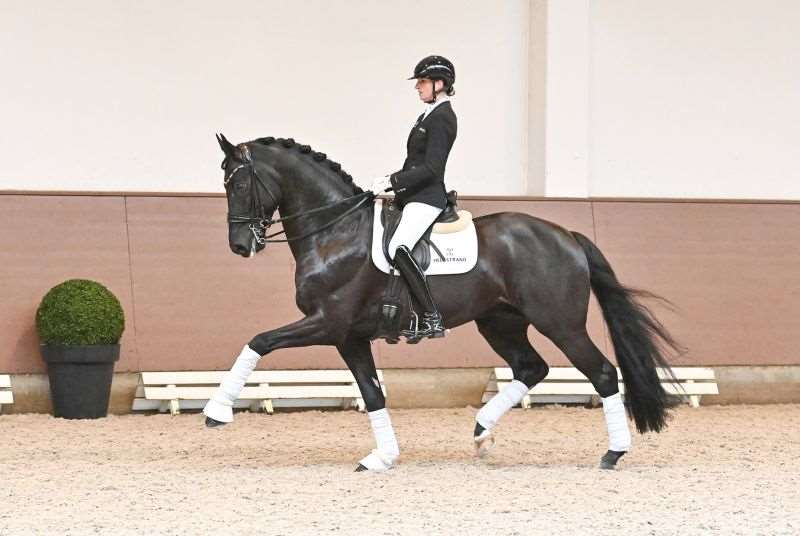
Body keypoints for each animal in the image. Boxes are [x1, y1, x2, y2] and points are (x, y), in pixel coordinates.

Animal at [203, 133, 681, 472]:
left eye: (239, 181)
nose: (239, 245)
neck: (335, 232)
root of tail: (567, 236)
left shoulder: (328, 323)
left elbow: (259, 341)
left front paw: (217, 411)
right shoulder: (349, 336)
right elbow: (372, 394)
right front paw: (383, 457)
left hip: (560, 323)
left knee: (601, 373)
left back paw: (613, 453)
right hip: (500, 321)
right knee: (532, 367)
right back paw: (482, 432)